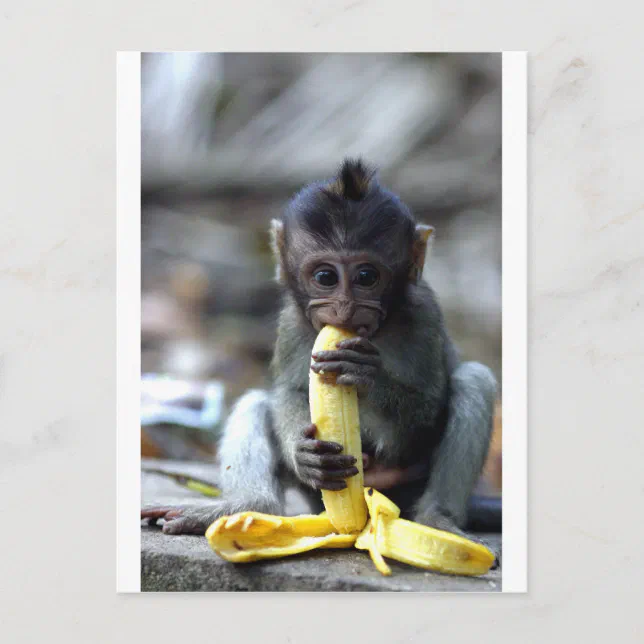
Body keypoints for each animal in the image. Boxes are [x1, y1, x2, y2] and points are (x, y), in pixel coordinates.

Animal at [142, 158, 499, 541]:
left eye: (367, 277)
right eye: (326, 277)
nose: (344, 308)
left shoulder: (424, 316)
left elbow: (426, 412)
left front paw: (366, 374)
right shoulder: (291, 323)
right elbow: (289, 391)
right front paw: (304, 454)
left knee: (474, 379)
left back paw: (437, 518)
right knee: (256, 403)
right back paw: (245, 507)